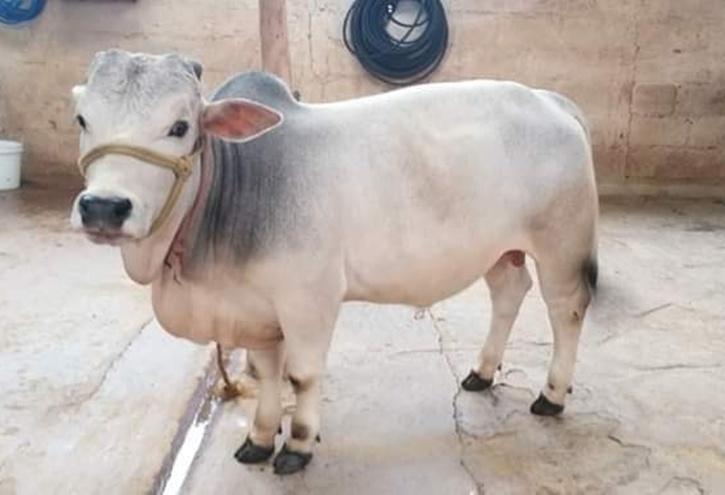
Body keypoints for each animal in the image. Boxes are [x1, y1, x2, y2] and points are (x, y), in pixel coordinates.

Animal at [70, 50, 598, 475]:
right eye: (81, 120)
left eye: (179, 126)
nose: (103, 207)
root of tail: (550, 100)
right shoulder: (256, 312)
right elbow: (266, 374)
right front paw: (259, 438)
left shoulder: (310, 299)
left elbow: (301, 376)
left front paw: (297, 446)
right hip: (499, 249)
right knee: (509, 292)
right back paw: (482, 372)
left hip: (562, 243)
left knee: (567, 310)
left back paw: (551, 394)